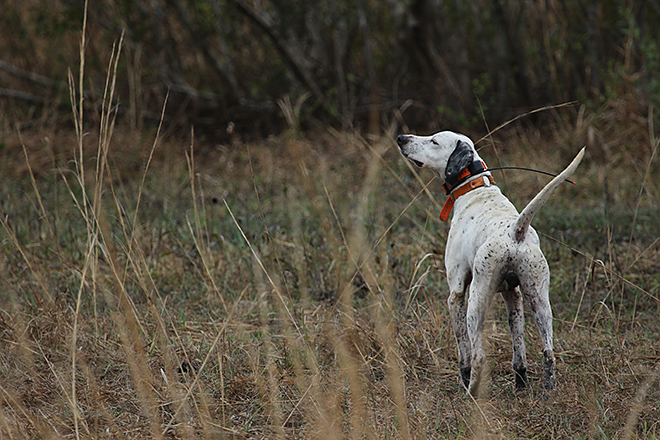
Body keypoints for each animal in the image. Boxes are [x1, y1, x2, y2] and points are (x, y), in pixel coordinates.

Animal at [394, 131, 584, 396]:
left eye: (434, 140)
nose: (401, 138)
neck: (474, 188)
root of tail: (516, 231)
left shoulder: (455, 294)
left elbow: (463, 352)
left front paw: (463, 381)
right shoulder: (513, 295)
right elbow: (519, 353)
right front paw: (521, 384)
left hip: (476, 301)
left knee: (479, 356)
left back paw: (470, 394)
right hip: (539, 300)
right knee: (548, 352)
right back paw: (549, 392)